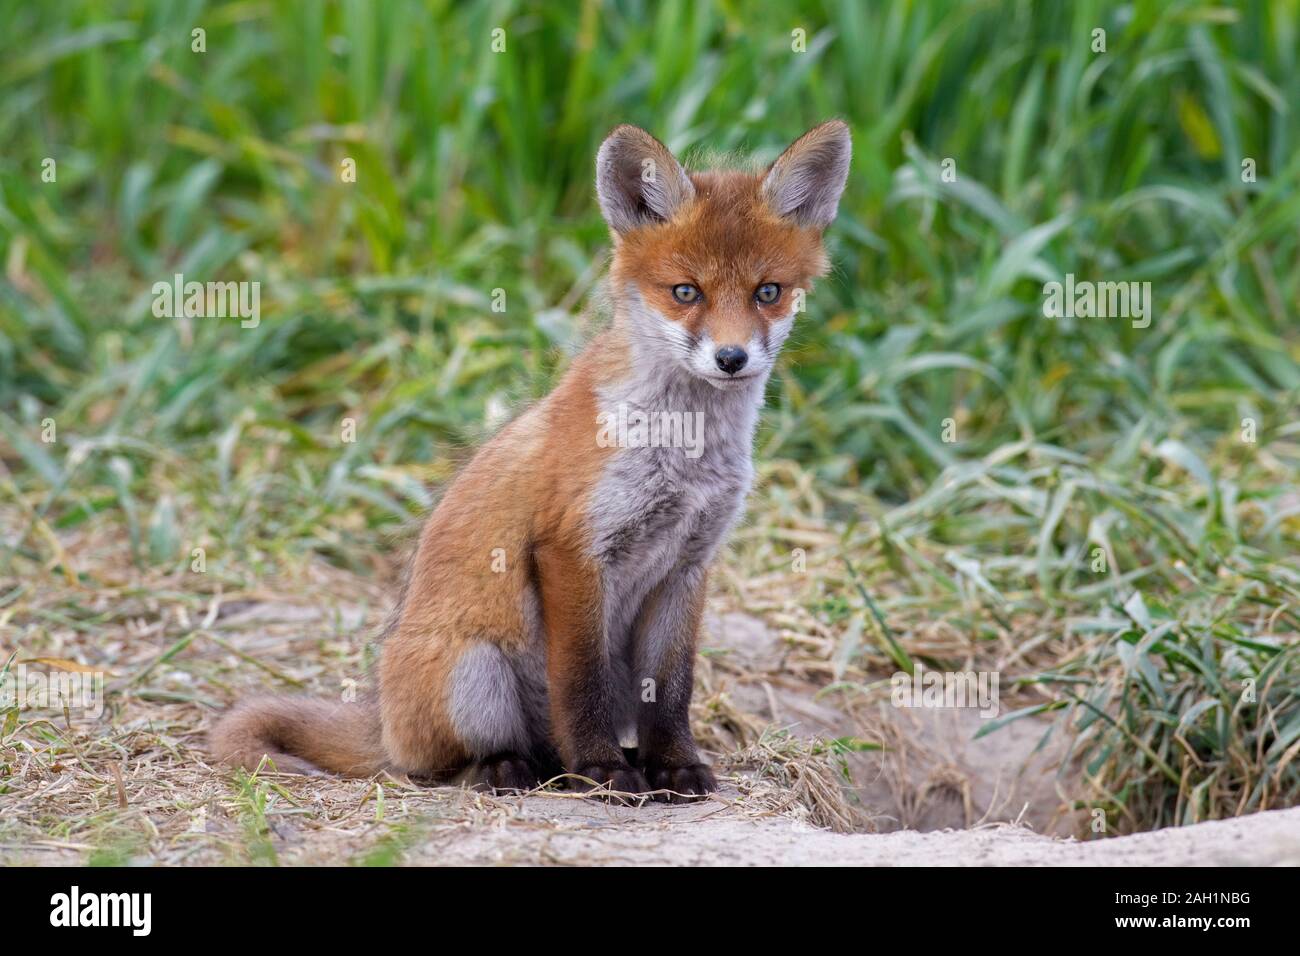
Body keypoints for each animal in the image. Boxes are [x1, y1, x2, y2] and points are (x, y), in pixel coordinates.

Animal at [209, 120, 851, 800]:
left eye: (767, 292)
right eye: (686, 292)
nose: (732, 359)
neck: (685, 454)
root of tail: (380, 715)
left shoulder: (689, 565)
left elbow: (671, 690)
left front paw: (673, 766)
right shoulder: (570, 549)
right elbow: (580, 681)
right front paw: (601, 770)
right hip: (474, 671)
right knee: (431, 766)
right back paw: (512, 768)